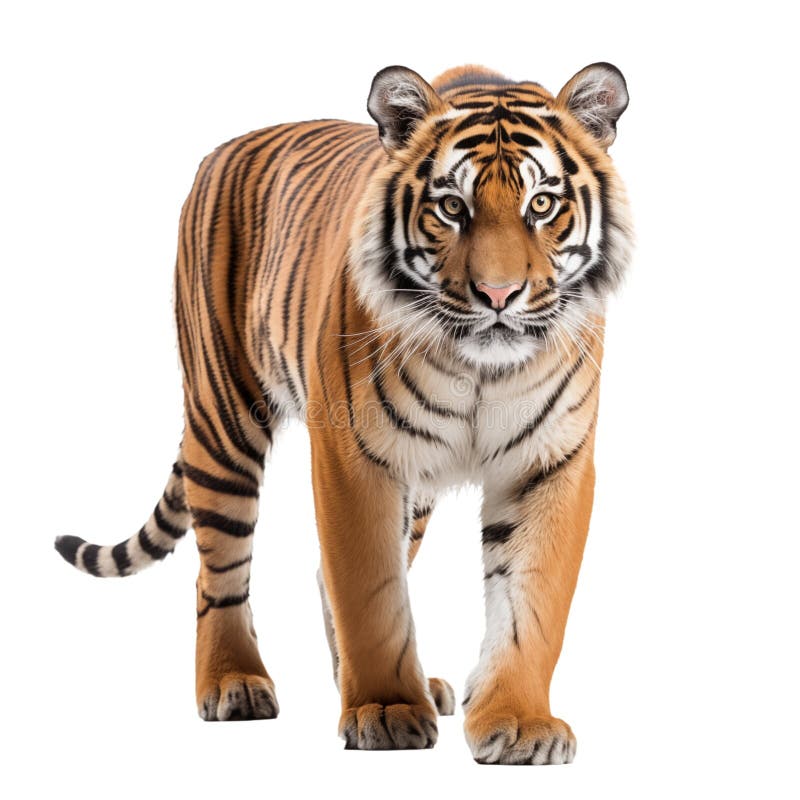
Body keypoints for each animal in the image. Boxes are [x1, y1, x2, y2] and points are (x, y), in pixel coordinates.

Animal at [55, 61, 632, 765]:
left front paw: (518, 721)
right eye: (451, 207)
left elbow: (533, 602)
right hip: (222, 420)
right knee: (218, 569)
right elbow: (369, 592)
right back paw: (233, 683)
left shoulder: (549, 463)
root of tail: (223, 150)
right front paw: (385, 710)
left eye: (541, 204)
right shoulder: (354, 456)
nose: (498, 295)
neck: (481, 370)